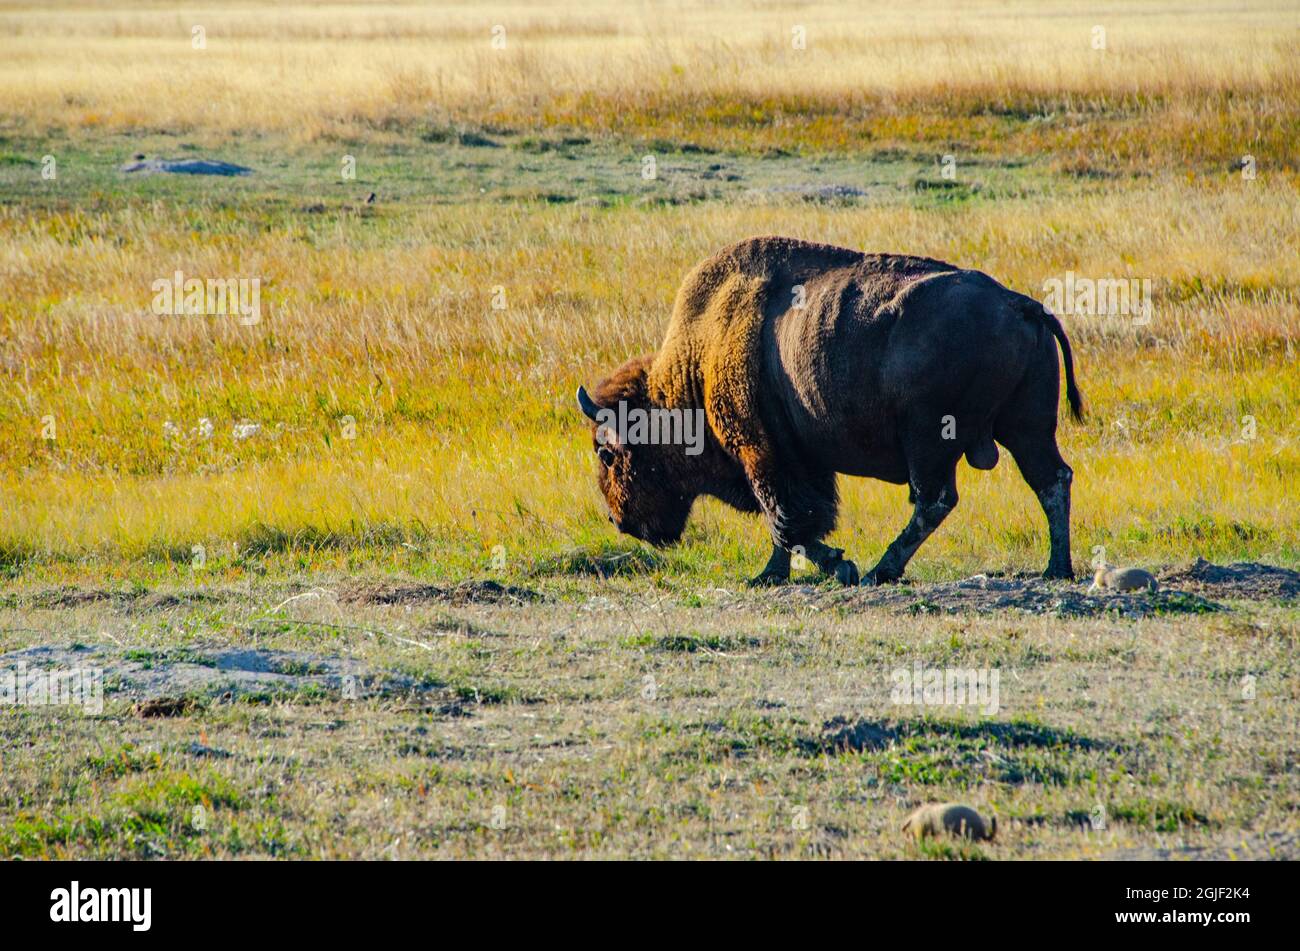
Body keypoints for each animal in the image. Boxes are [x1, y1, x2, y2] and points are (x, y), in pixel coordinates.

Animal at [576, 236, 1082, 586]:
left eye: (608, 454)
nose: (619, 521)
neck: (698, 360)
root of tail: (1021, 304)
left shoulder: (762, 454)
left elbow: (785, 519)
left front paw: (838, 565)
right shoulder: (798, 461)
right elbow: (788, 521)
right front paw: (771, 575)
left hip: (931, 438)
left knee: (935, 499)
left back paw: (881, 570)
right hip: (1027, 428)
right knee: (1051, 480)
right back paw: (1056, 568)